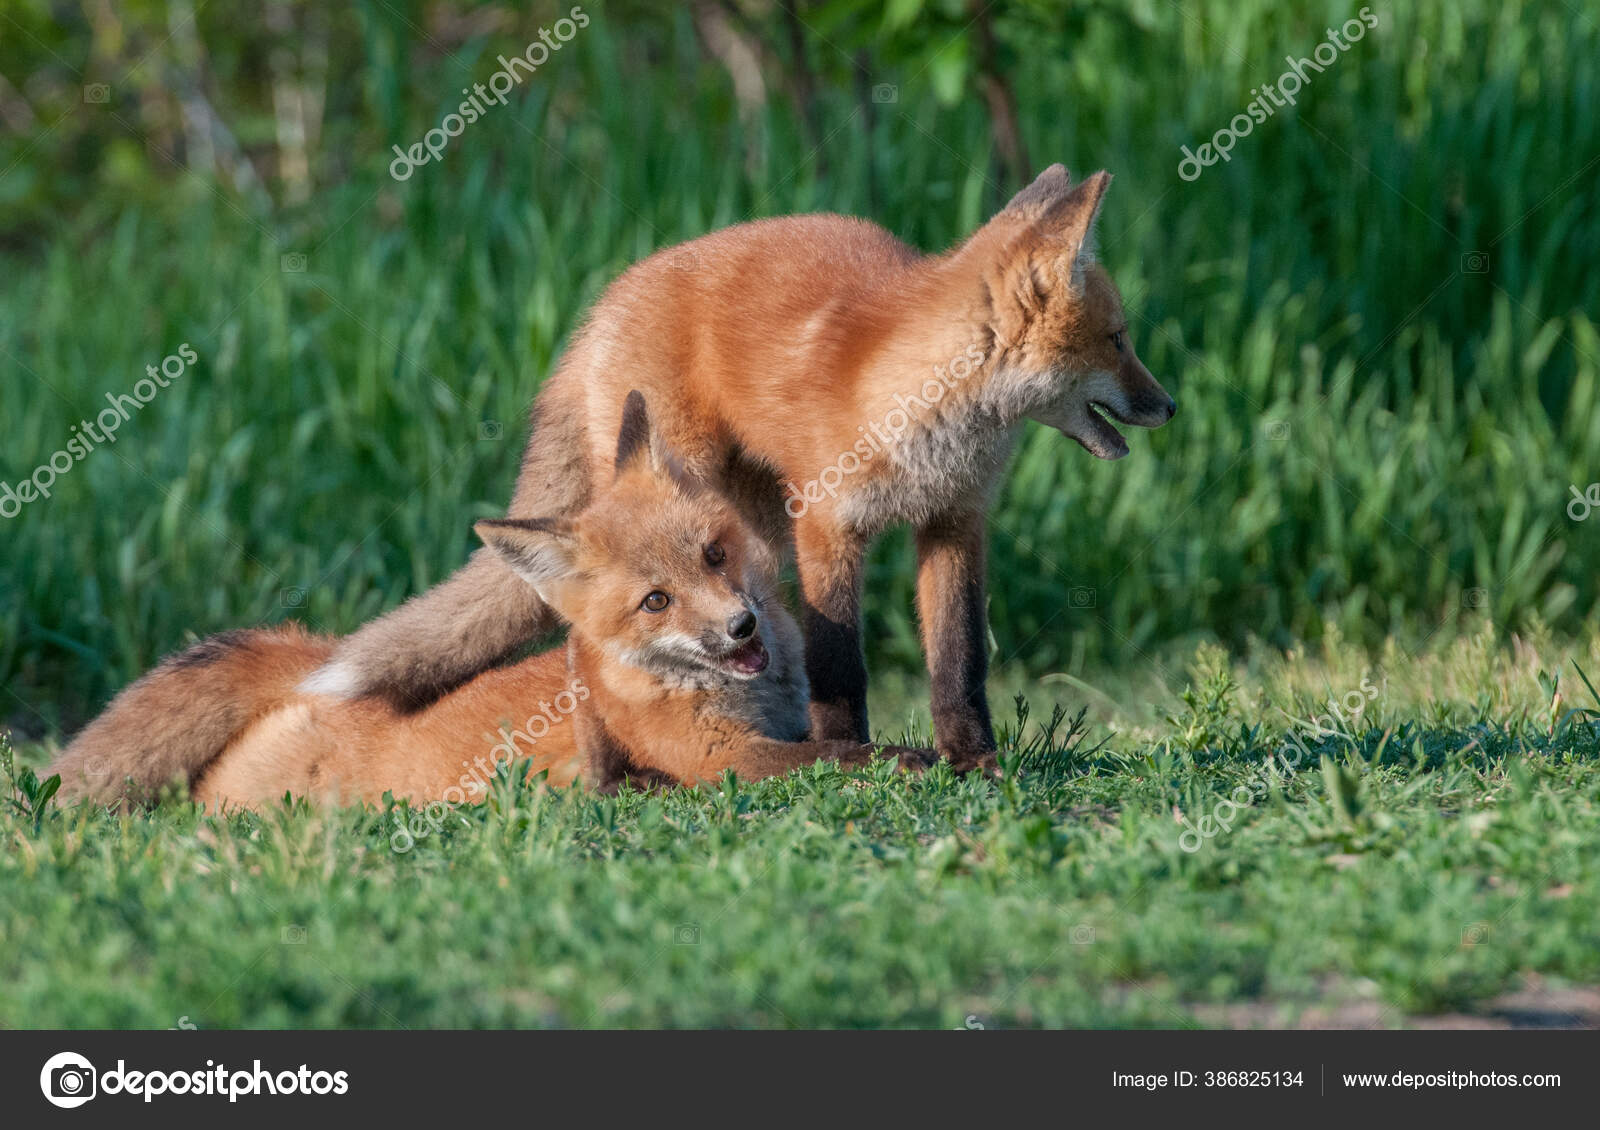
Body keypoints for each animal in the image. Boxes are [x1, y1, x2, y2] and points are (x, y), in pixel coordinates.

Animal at [49, 392, 935, 808]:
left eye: (714, 554)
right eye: (655, 602)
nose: (741, 624)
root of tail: (305, 663)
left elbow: (840, 741)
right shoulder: (726, 763)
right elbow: (840, 757)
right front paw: (921, 761)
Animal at [307, 163, 1175, 770]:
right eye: (1118, 340)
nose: (1168, 405)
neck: (927, 416)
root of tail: (602, 308)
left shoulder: (955, 520)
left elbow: (959, 663)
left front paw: (978, 763)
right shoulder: (828, 525)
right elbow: (839, 663)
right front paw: (853, 758)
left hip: (746, 531)